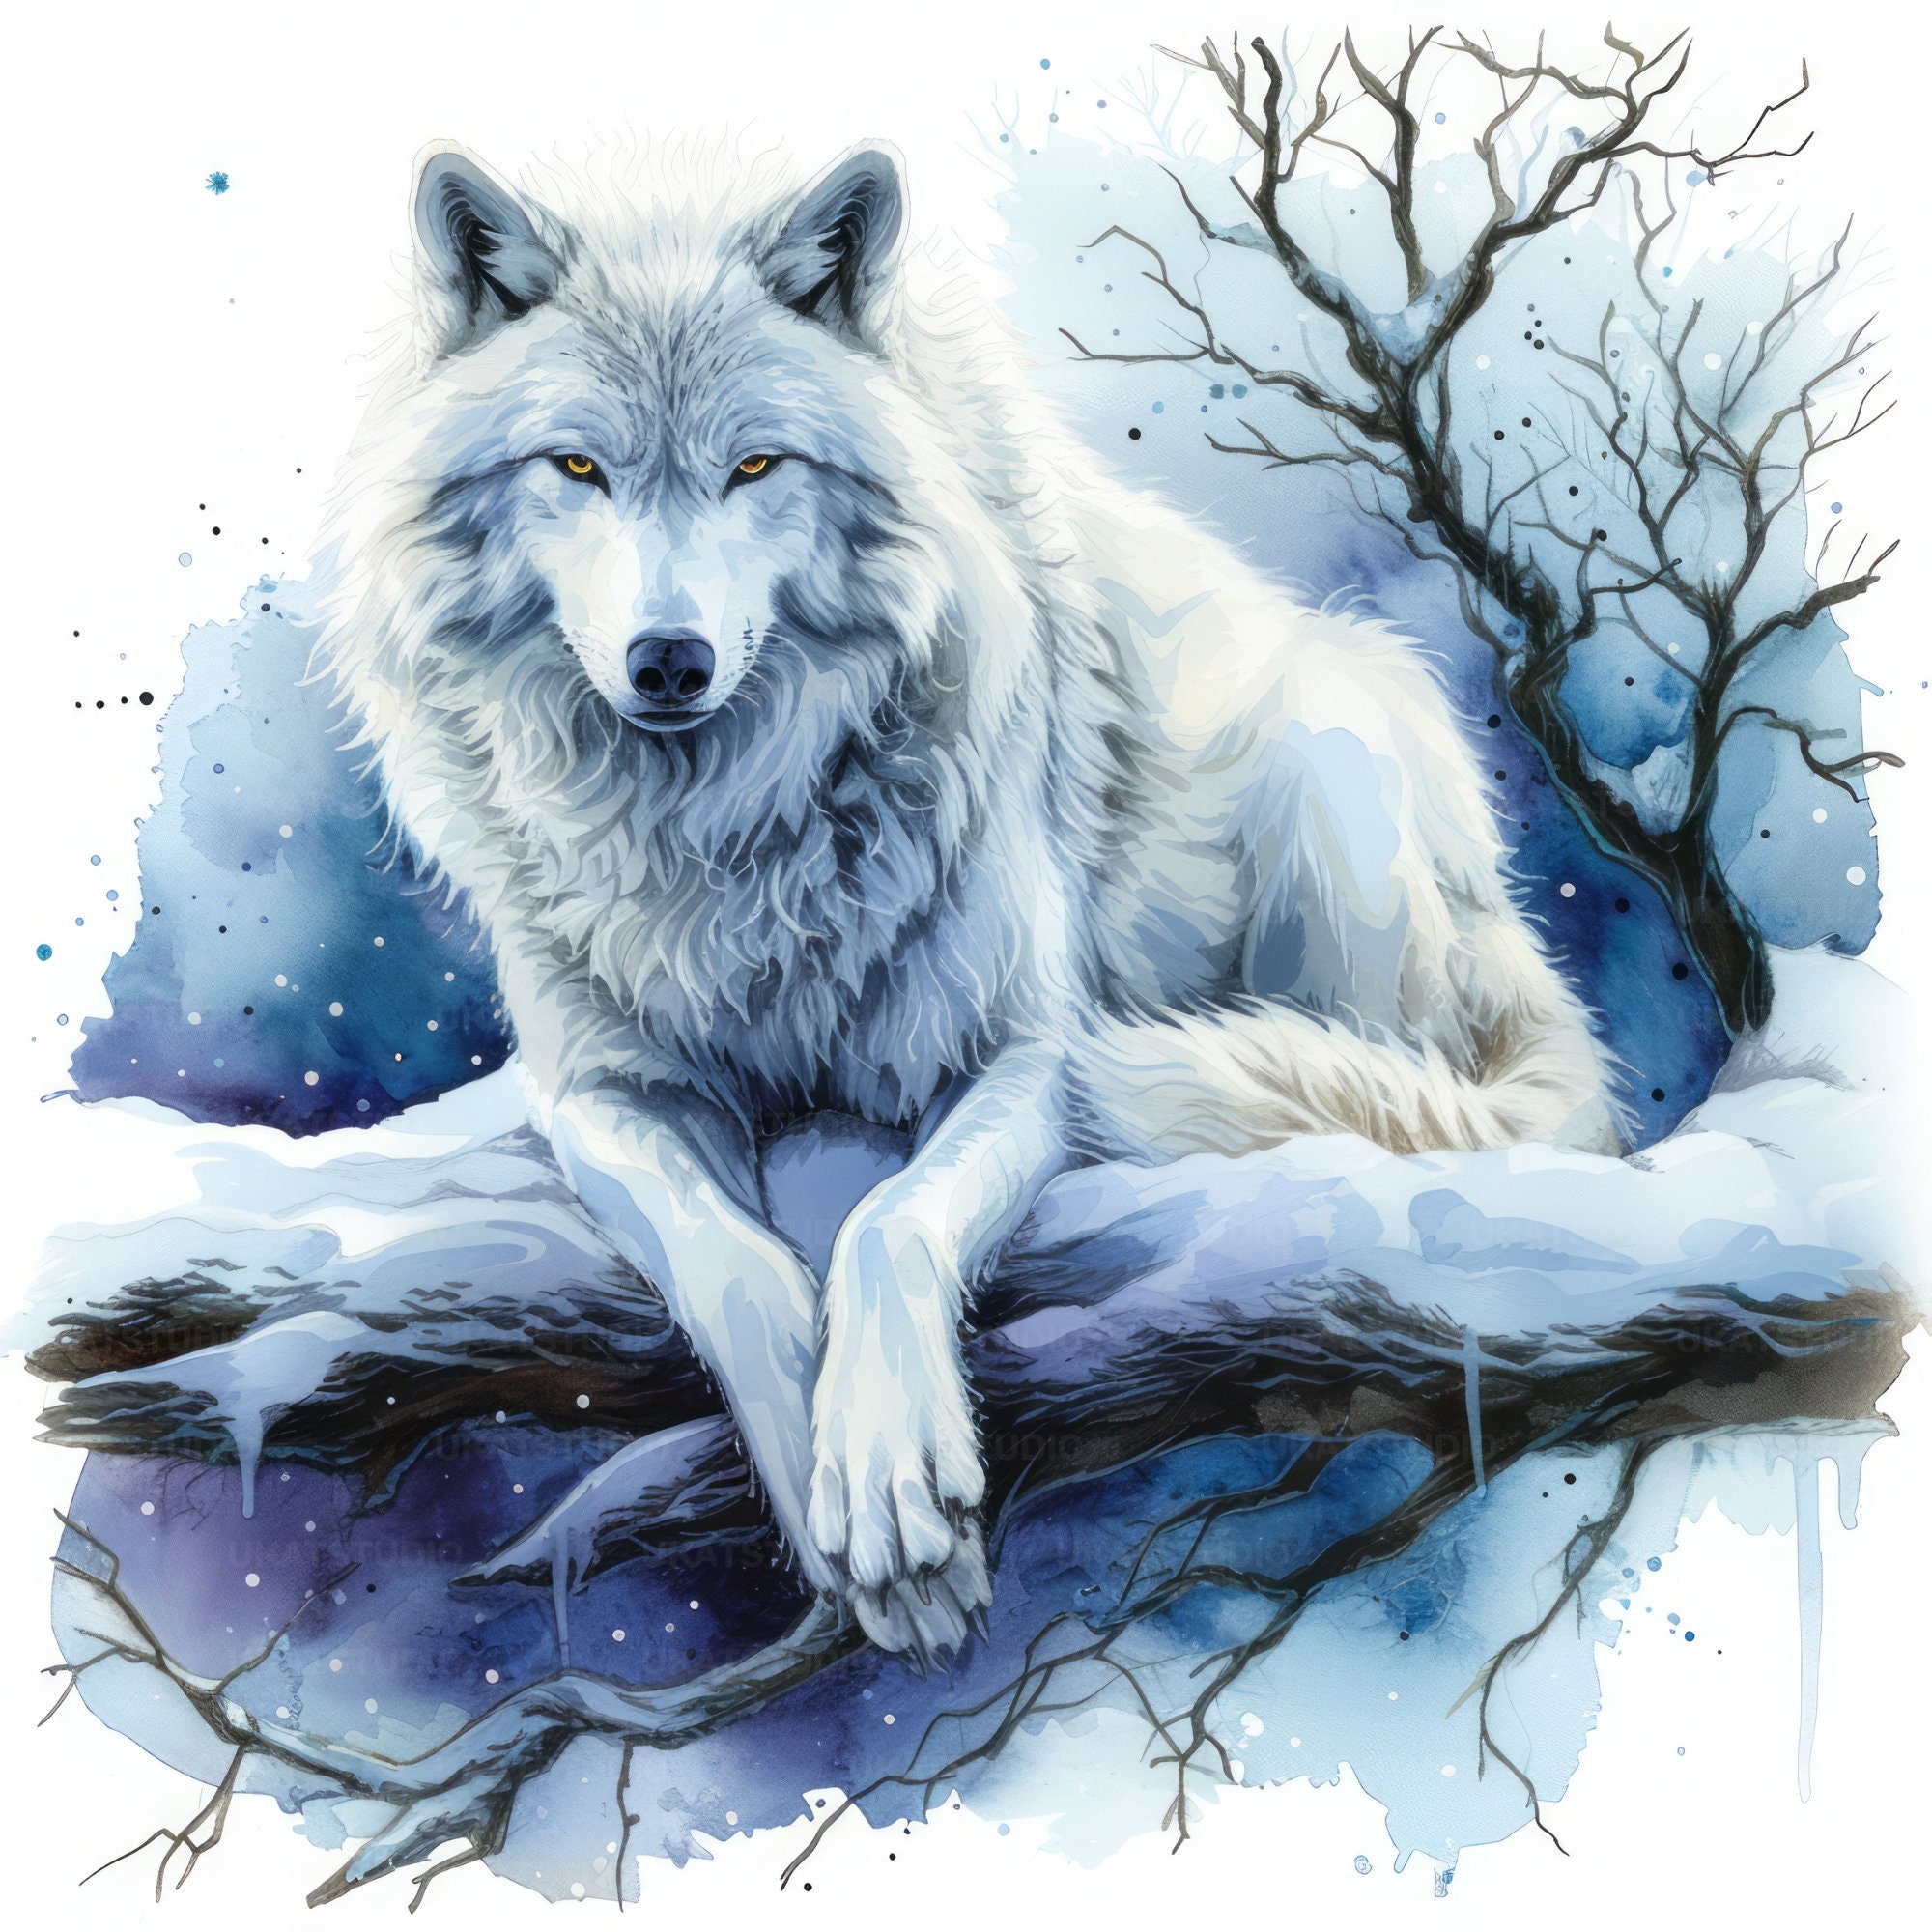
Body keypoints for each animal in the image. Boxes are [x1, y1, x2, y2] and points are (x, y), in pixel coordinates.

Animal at [319, 141, 1621, 1659]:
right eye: (577, 467)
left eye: (754, 465)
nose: (668, 660)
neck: (724, 832)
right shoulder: (603, 1092)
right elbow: (733, 1266)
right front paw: (835, 1510)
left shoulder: (1014, 1057)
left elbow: (887, 1225)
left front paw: (890, 1485)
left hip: (1334, 777)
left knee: (1384, 1086)